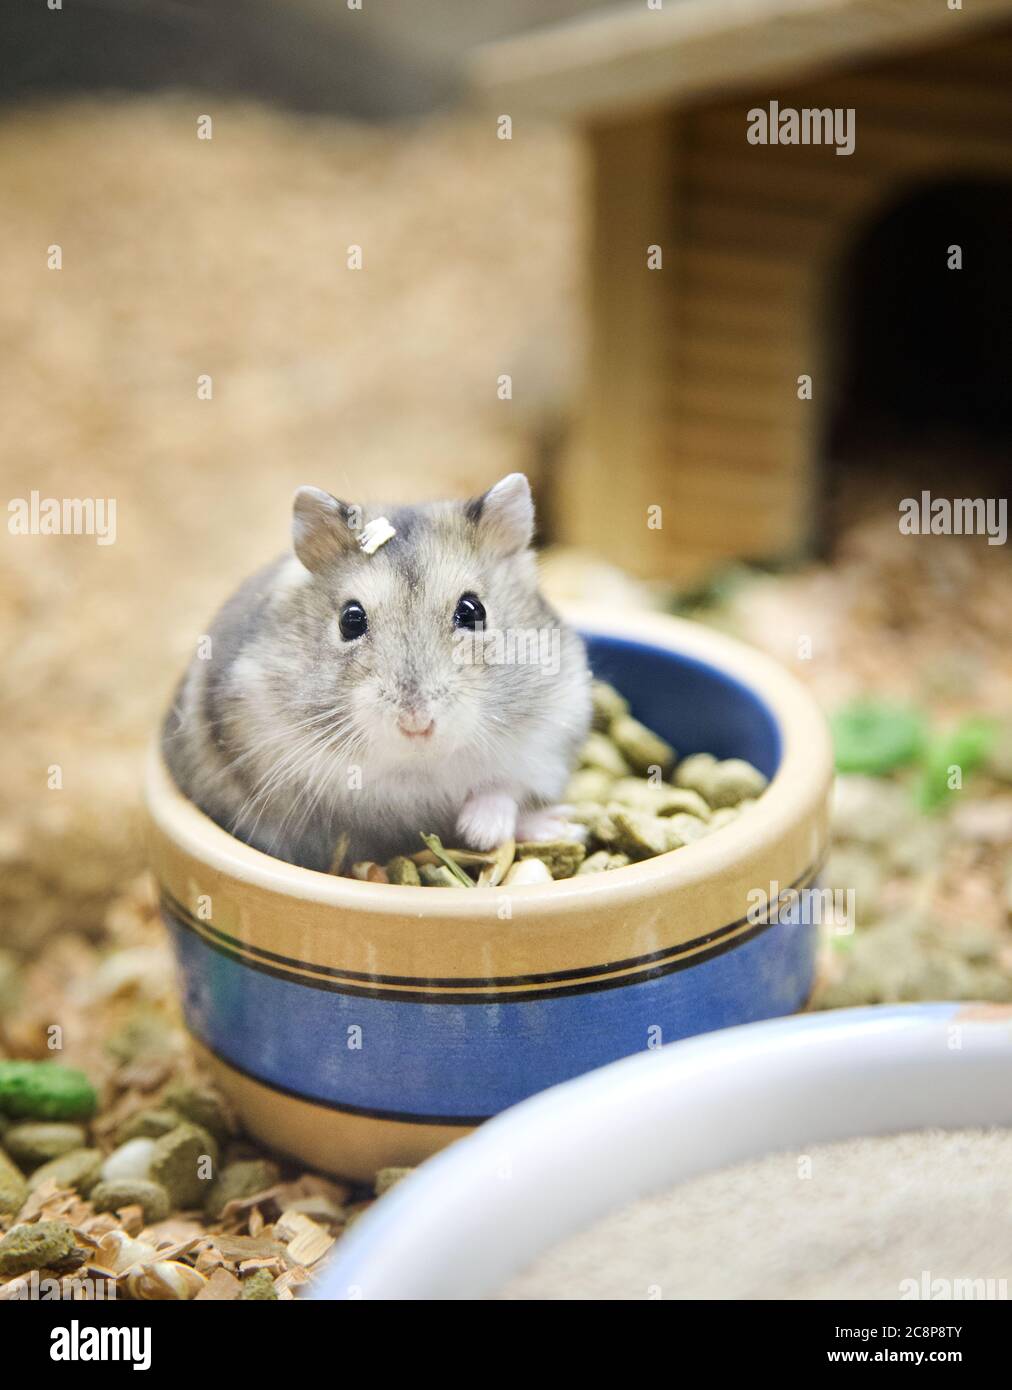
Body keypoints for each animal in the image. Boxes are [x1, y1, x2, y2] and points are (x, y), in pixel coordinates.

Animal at [162, 473, 592, 873]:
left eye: (473, 611)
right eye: (350, 620)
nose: (416, 724)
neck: (421, 762)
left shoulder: (550, 734)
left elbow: (505, 786)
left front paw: (481, 831)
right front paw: (479, 834)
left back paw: (562, 826)